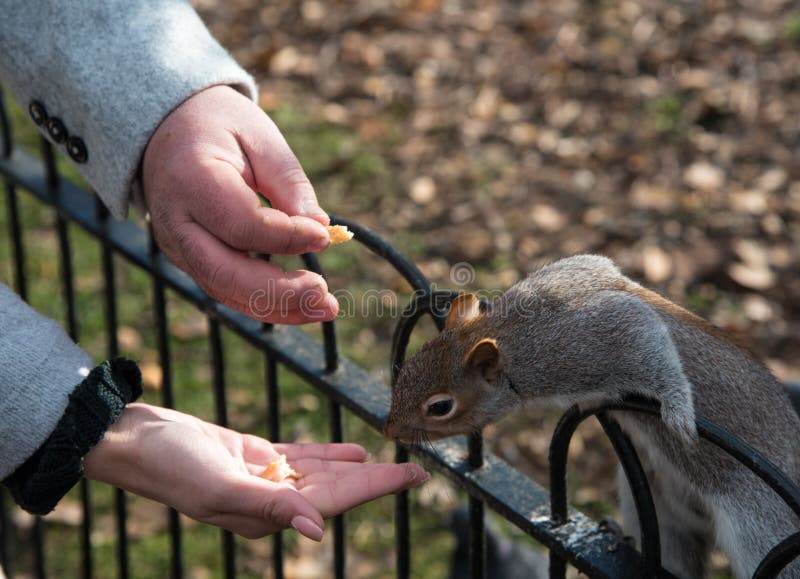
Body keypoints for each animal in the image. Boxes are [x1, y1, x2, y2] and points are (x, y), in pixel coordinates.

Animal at [384, 255, 800, 579]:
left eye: (440, 407)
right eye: (409, 367)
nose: (391, 430)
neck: (506, 333)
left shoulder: (585, 344)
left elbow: (643, 335)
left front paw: (678, 407)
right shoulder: (575, 271)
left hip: (764, 524)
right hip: (664, 507)